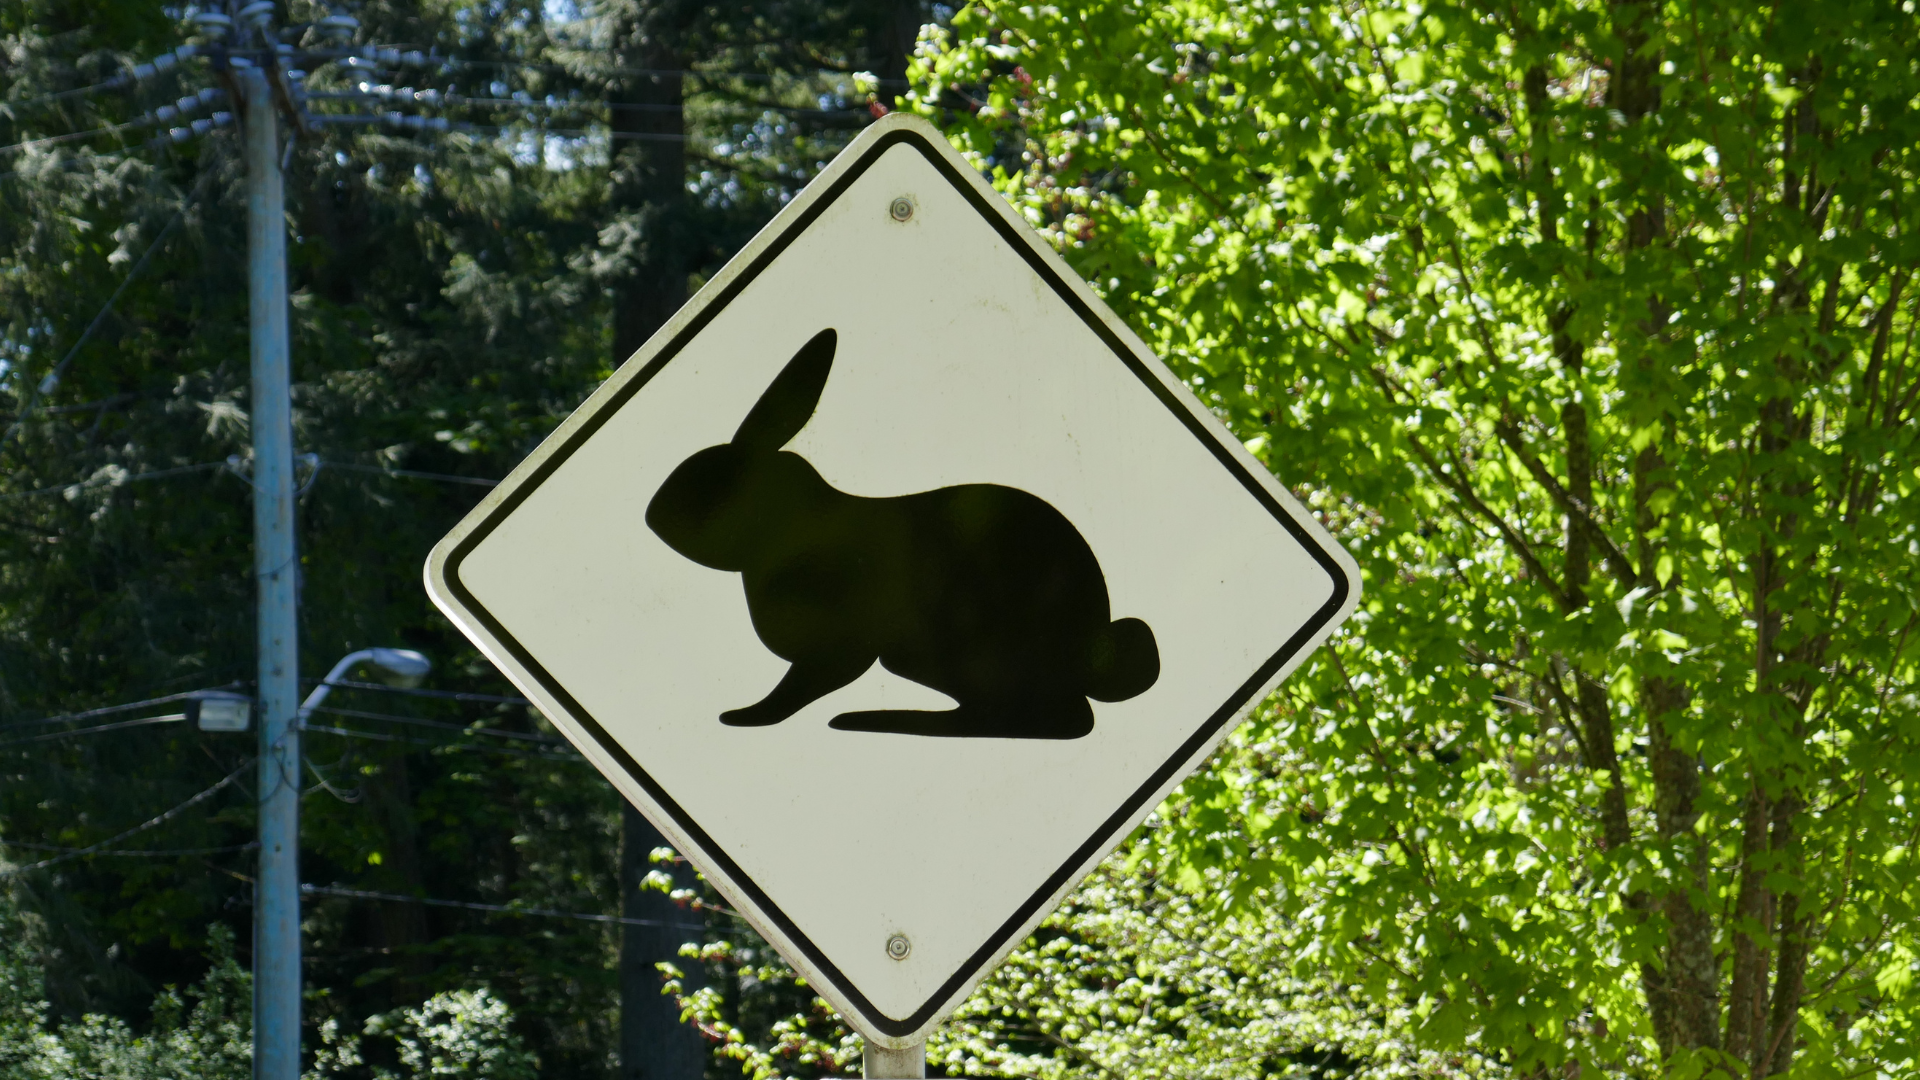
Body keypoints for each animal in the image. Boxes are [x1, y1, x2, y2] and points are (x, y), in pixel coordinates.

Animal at [645, 328, 1159, 739]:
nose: (653, 517)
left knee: (1057, 721)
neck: (792, 527)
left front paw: (744, 719)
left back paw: (881, 720)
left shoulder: (838, 648)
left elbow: (798, 689)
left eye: (715, 486)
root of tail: (1094, 653)